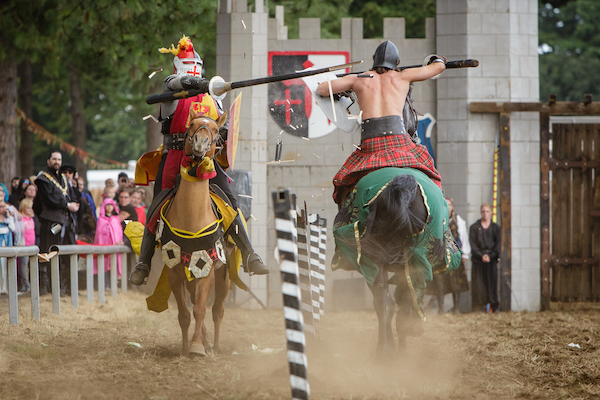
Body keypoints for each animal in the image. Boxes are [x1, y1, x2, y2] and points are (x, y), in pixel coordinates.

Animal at [159, 110, 230, 356]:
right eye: (192, 126)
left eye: (216, 130)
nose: (200, 143)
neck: (192, 215)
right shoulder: (173, 271)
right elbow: (184, 313)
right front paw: (185, 348)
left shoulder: (207, 268)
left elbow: (200, 309)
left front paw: (197, 347)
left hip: (224, 275)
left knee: (218, 309)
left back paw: (215, 345)